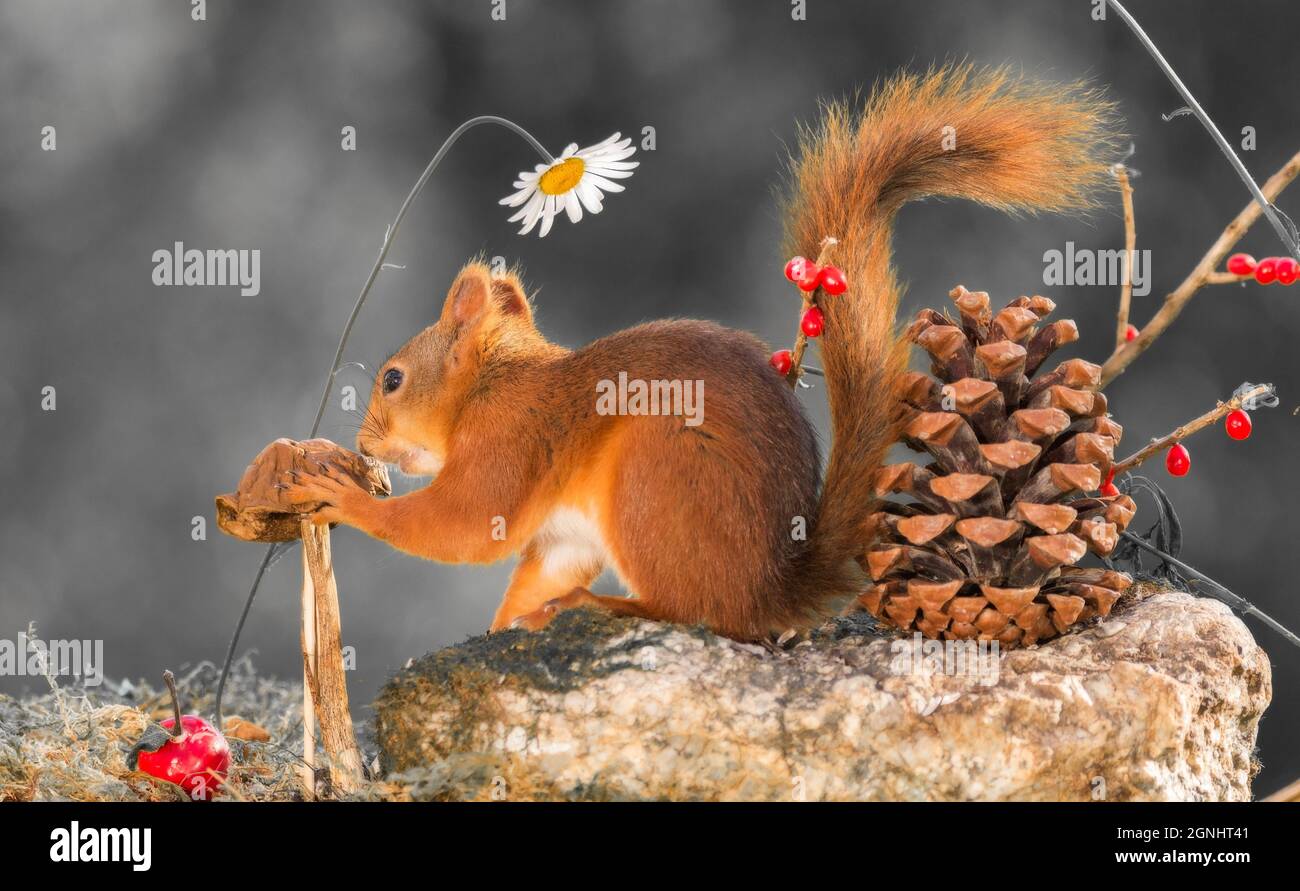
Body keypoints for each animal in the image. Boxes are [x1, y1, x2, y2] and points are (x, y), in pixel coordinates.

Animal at [281, 66, 1117, 639]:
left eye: (392, 378)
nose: (364, 444)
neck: (490, 384)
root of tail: (768, 591)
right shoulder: (562, 531)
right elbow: (534, 568)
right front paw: (503, 624)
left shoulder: (504, 447)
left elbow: (454, 525)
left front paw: (340, 496)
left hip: (654, 479)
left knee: (691, 610)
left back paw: (603, 602)